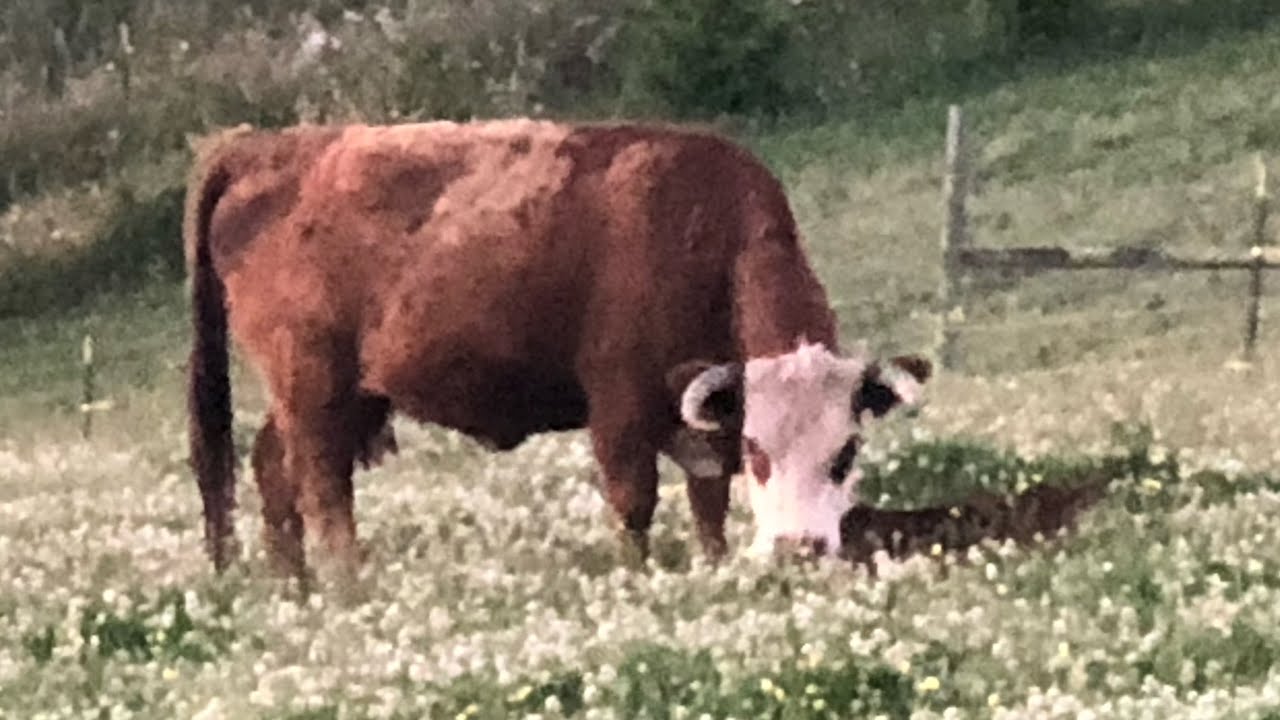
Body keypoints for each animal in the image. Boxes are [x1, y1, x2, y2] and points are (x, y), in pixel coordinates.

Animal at [184, 118, 931, 590]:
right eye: (759, 450)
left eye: (847, 451)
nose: (800, 550)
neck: (701, 232)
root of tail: (266, 148)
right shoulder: (621, 406)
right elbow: (634, 503)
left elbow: (708, 505)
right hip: (315, 390)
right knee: (322, 490)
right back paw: (346, 588)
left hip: (337, 398)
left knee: (272, 469)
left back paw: (297, 590)